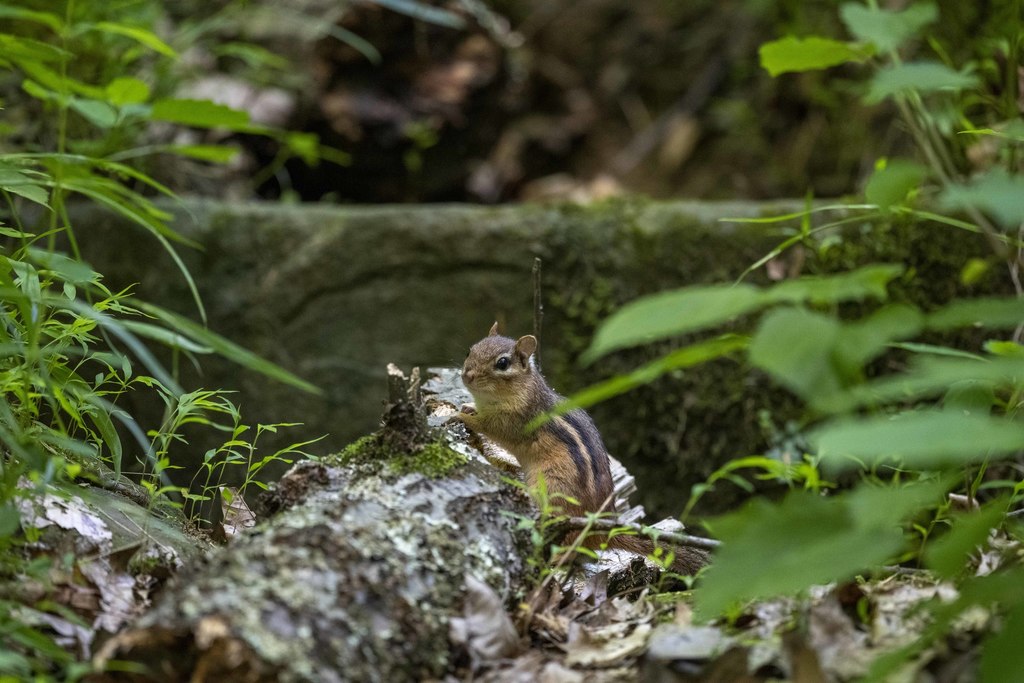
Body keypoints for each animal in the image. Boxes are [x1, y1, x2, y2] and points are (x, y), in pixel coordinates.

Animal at [456, 322, 706, 575]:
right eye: (469, 351)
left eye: (503, 363)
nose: (467, 375)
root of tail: (603, 531)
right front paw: (467, 407)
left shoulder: (513, 422)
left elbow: (489, 427)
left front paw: (459, 416)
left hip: (555, 495)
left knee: (572, 543)